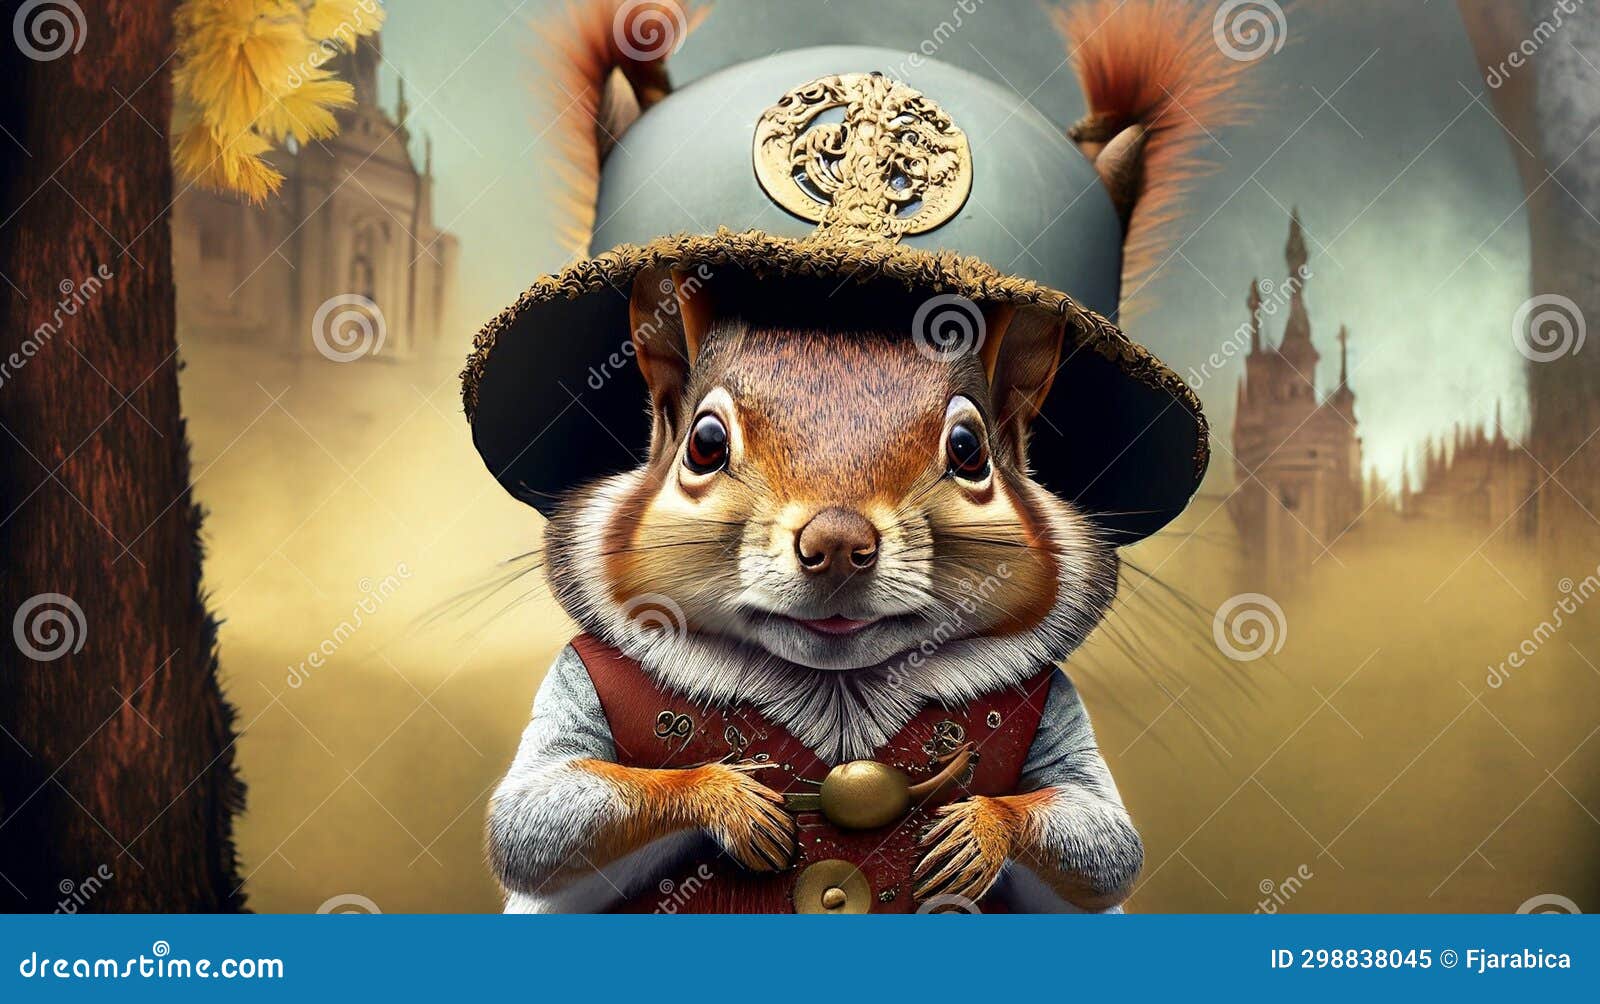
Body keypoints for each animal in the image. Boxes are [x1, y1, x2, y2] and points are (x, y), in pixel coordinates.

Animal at [473, 0, 1249, 914]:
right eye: (704, 442)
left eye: (969, 450)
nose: (838, 542)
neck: (840, 693)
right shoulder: (576, 684)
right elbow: (536, 821)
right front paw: (731, 797)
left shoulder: (1057, 708)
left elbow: (1105, 840)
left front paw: (976, 830)